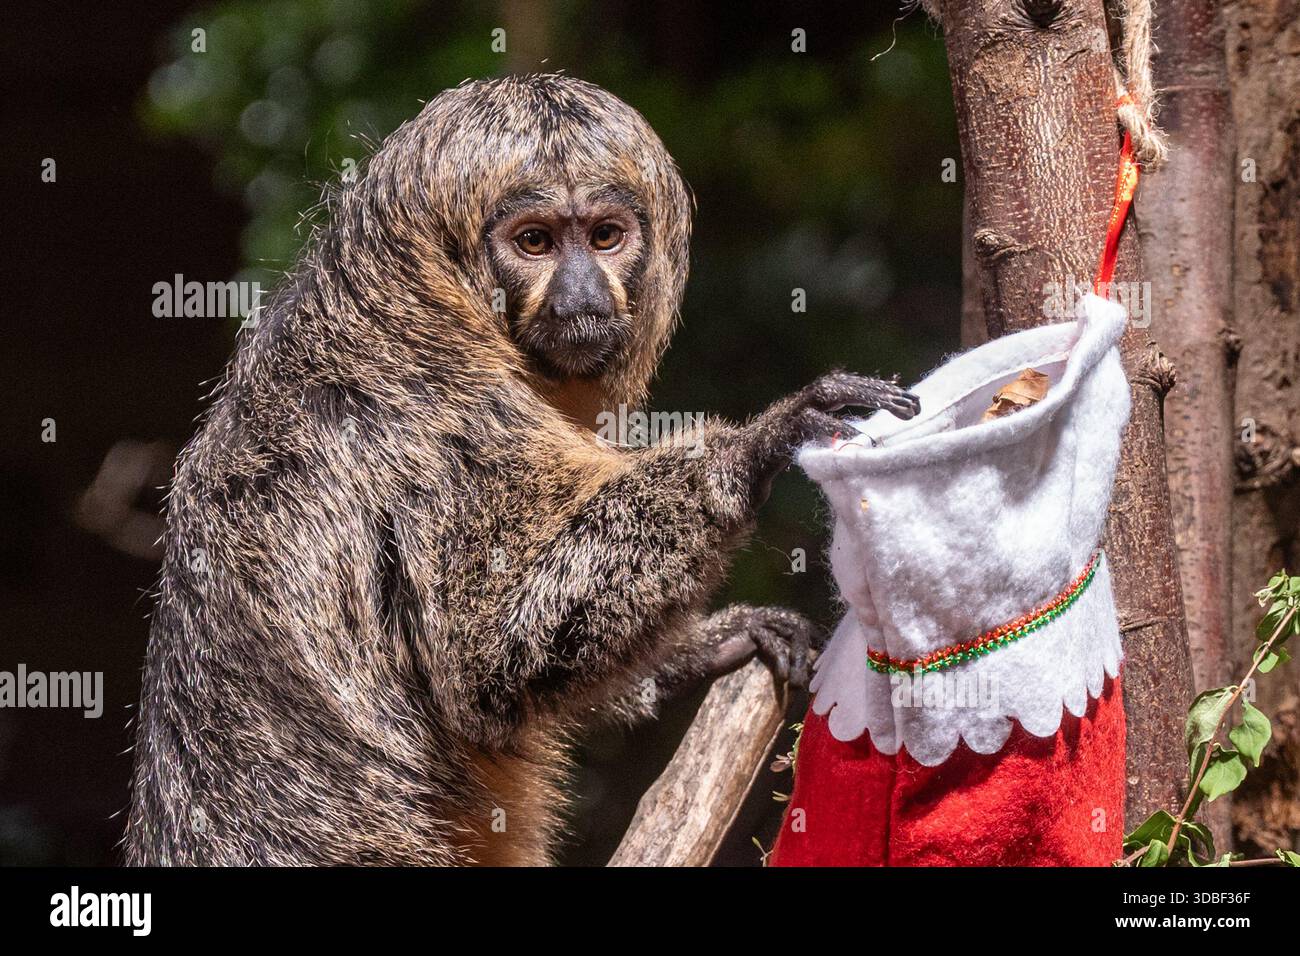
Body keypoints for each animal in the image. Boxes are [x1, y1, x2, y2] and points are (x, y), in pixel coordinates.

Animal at [124, 74, 919, 866]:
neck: (425, 305)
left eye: (604, 236)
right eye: (533, 242)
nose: (582, 295)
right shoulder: (433, 413)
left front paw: (703, 646)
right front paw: (762, 443)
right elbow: (488, 658)